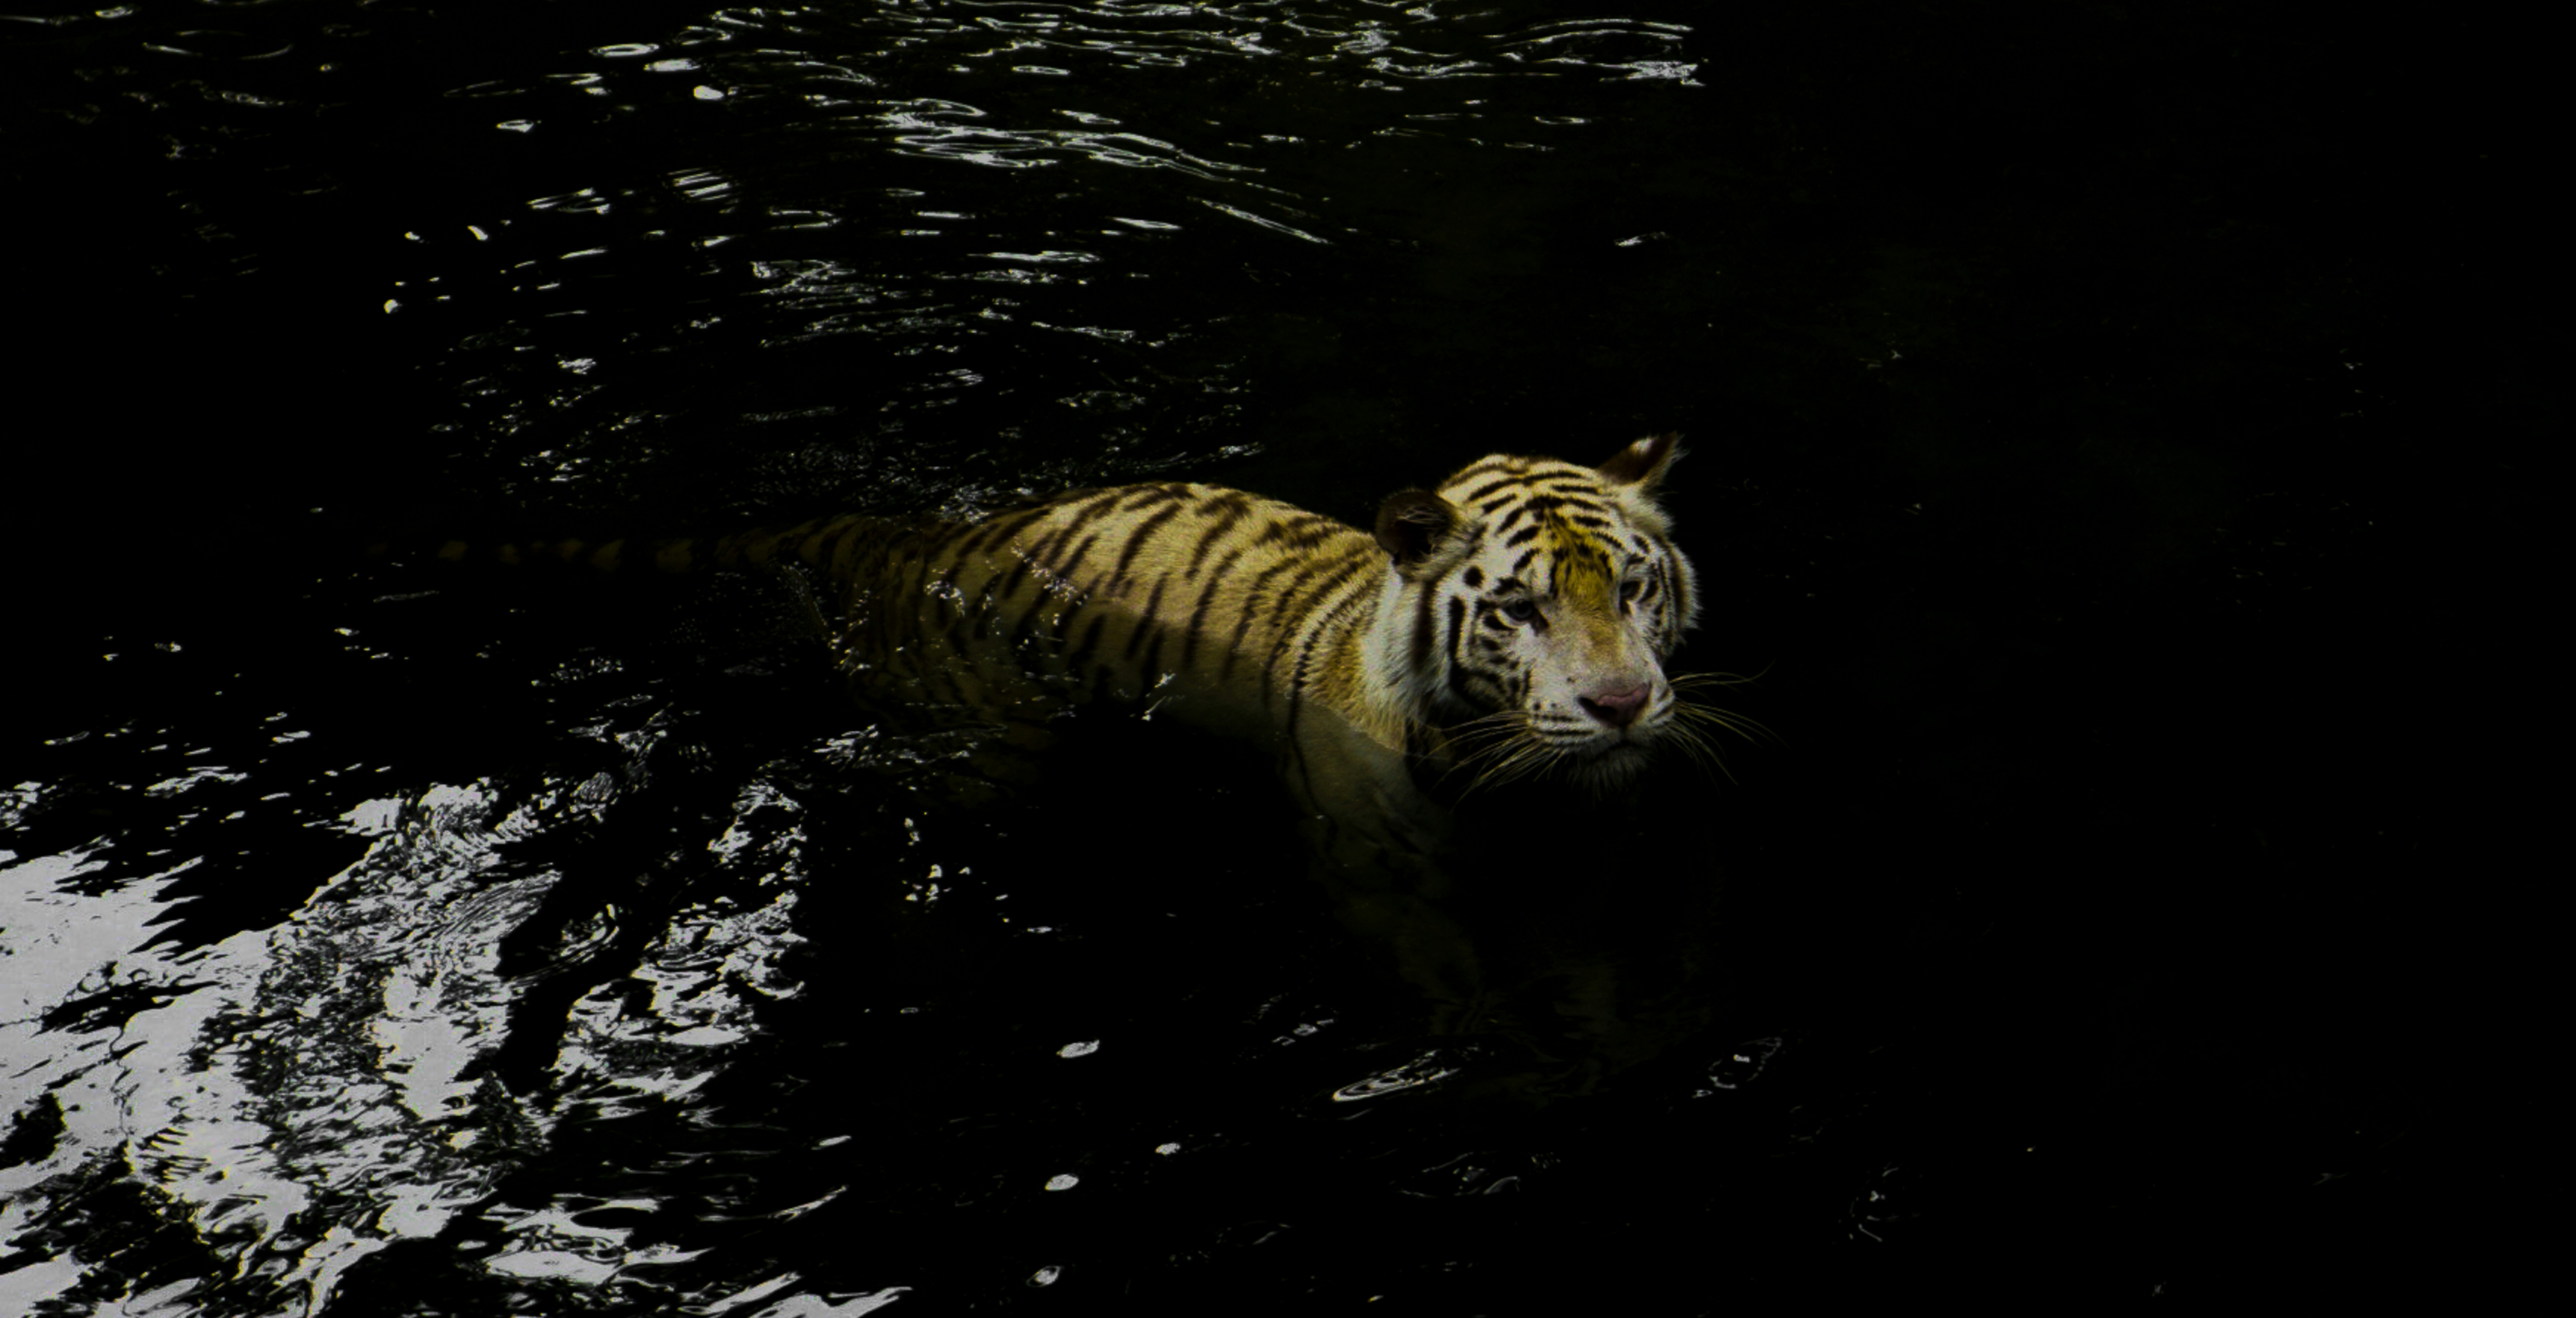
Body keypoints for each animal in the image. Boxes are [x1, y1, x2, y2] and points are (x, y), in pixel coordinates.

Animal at [444, 432, 1735, 903]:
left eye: (1631, 588)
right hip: (992, 752)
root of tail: (917, 538)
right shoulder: (1381, 868)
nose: (1623, 705)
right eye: (1517, 610)